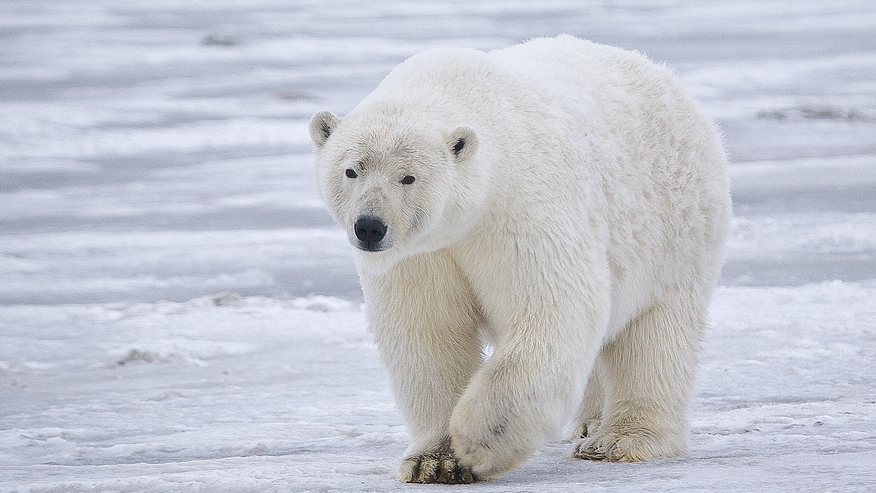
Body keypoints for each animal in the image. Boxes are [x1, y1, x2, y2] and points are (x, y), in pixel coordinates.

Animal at [309, 35, 731, 483]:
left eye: (408, 177)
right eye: (351, 170)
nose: (370, 227)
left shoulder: (520, 209)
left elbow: (552, 308)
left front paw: (478, 440)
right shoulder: (421, 254)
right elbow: (428, 333)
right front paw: (434, 461)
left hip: (675, 227)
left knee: (655, 335)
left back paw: (619, 440)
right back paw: (587, 423)